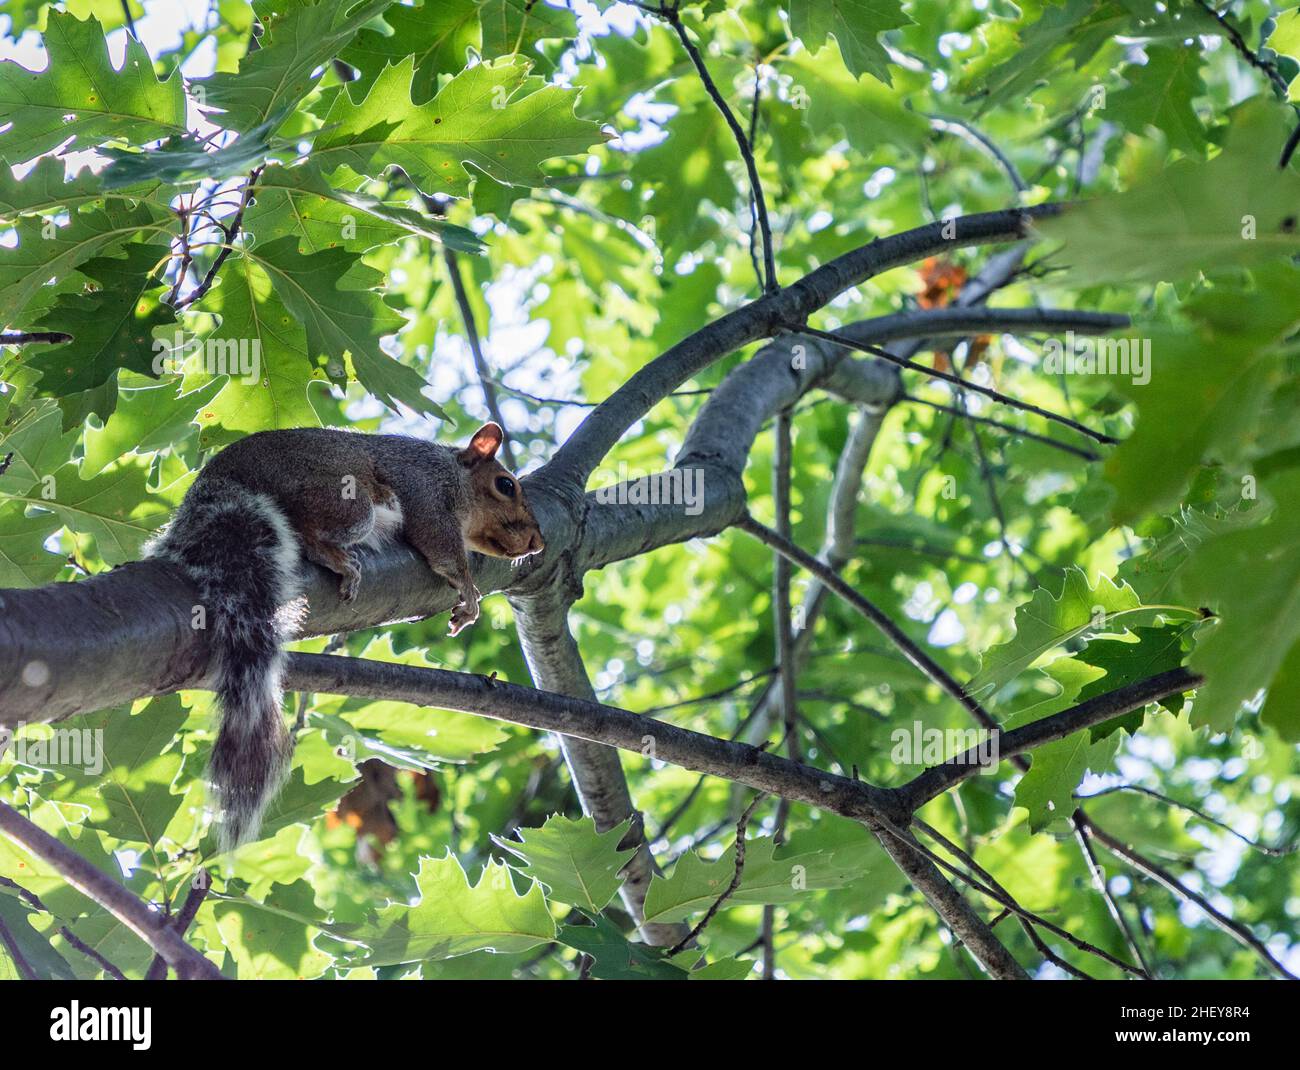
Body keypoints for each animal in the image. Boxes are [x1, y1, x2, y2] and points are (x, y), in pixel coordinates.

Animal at [145, 422, 543, 851]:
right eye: (506, 485)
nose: (538, 543)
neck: (451, 471)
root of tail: (218, 483)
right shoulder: (425, 490)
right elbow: (441, 548)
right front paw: (469, 592)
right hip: (345, 496)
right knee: (309, 529)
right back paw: (334, 557)